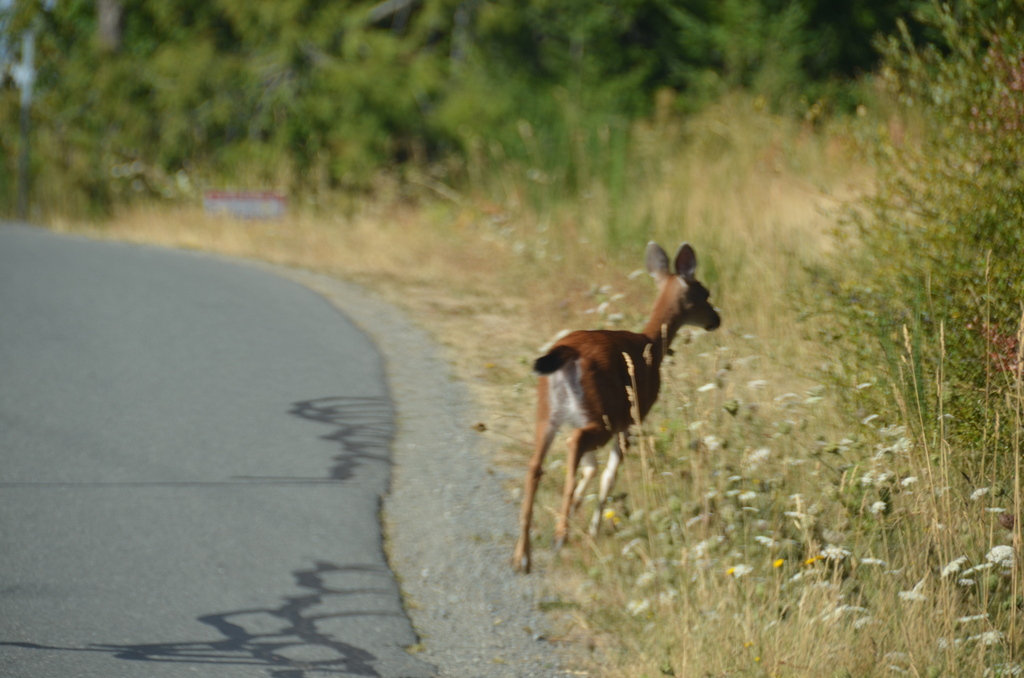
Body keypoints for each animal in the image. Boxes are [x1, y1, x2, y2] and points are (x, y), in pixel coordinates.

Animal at [512, 242, 720, 574]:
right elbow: (609, 473)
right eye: (705, 293)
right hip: (602, 412)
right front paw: (592, 528)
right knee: (574, 445)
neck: (651, 346)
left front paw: (576, 508)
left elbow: (592, 468)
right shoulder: (632, 419)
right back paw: (560, 535)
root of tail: (566, 356)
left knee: (535, 465)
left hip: (548, 412)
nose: (716, 320)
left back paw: (523, 555)